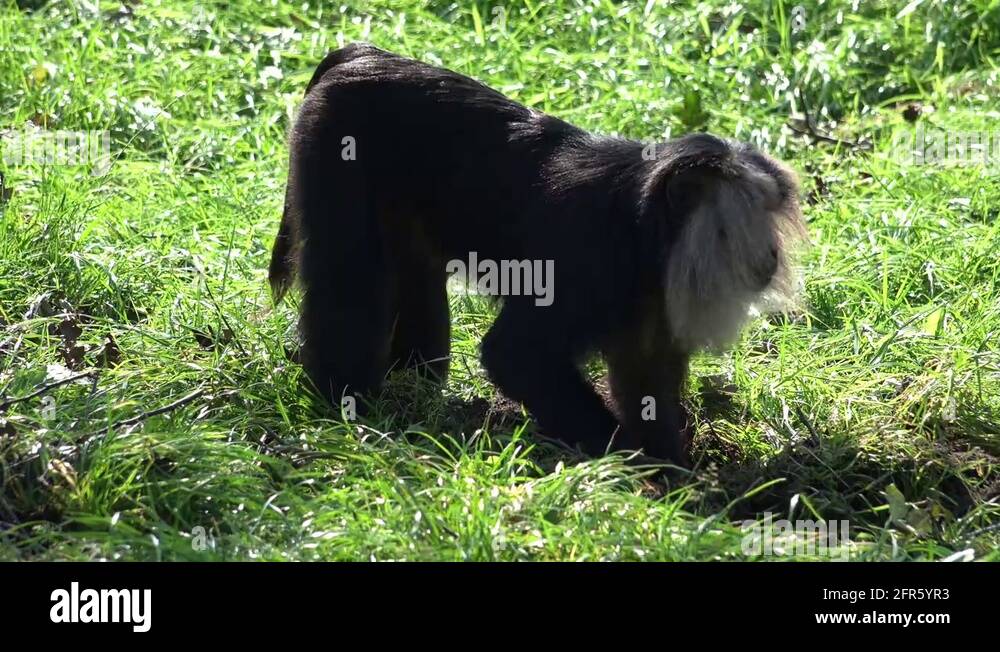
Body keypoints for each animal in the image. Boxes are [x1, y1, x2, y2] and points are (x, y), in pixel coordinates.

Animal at [269, 43, 806, 465]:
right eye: (740, 223)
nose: (769, 257)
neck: (644, 227)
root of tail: (361, 55)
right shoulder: (587, 259)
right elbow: (515, 355)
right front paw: (627, 463)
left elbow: (646, 375)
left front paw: (672, 475)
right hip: (333, 143)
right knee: (350, 277)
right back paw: (346, 405)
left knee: (415, 275)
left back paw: (413, 391)